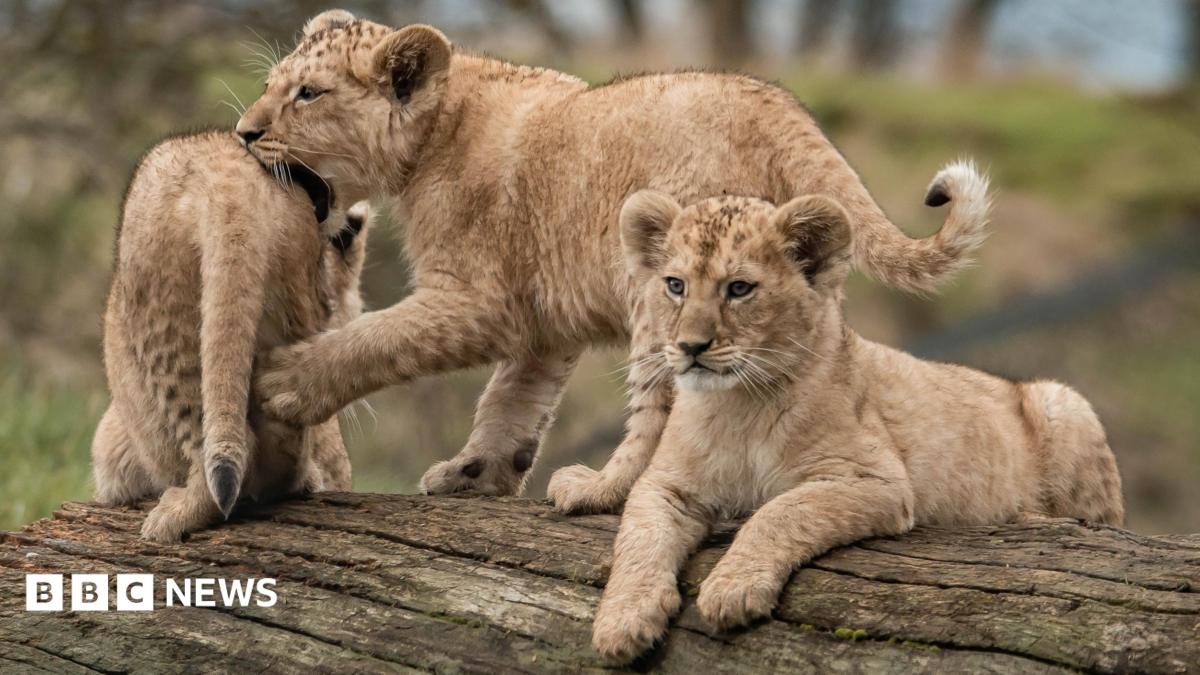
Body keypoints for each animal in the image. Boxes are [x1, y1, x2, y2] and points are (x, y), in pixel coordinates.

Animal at [236, 10, 991, 509]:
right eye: (273, 84)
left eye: (308, 94)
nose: (244, 133)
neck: (433, 132)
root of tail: (782, 112)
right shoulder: (539, 321)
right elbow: (512, 398)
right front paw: (477, 473)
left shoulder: (478, 299)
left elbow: (376, 338)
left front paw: (287, 383)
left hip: (665, 289)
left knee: (668, 405)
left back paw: (601, 488)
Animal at [589, 177, 1124, 661]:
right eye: (675, 286)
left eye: (739, 288)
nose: (690, 347)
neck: (737, 403)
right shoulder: (667, 483)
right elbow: (638, 536)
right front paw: (622, 621)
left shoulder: (876, 480)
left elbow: (779, 511)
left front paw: (733, 588)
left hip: (1063, 402)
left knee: (1105, 523)